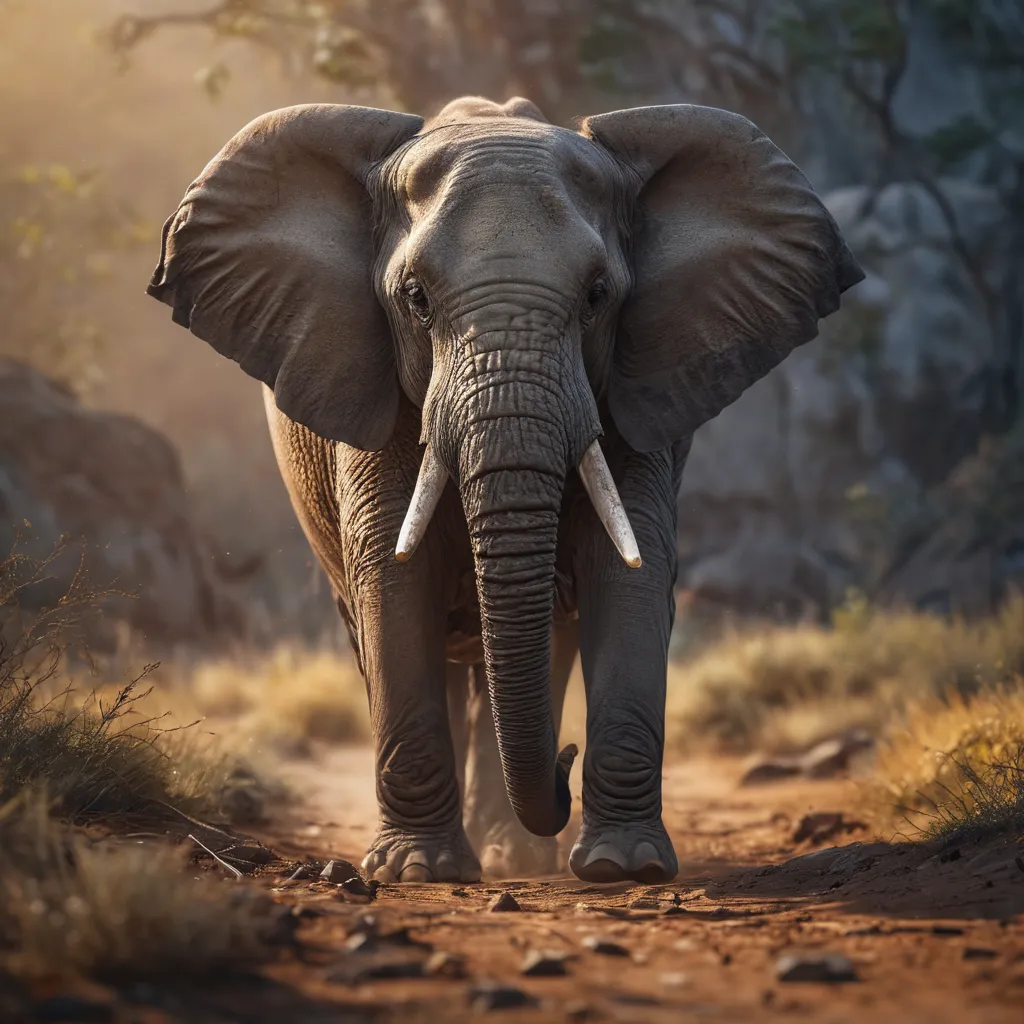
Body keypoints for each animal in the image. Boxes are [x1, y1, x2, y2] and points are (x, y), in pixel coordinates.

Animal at [147, 95, 862, 884]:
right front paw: (417, 871)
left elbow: (628, 571)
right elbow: (394, 579)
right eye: (416, 300)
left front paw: (626, 867)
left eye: (597, 296)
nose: (563, 761)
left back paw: (515, 856)